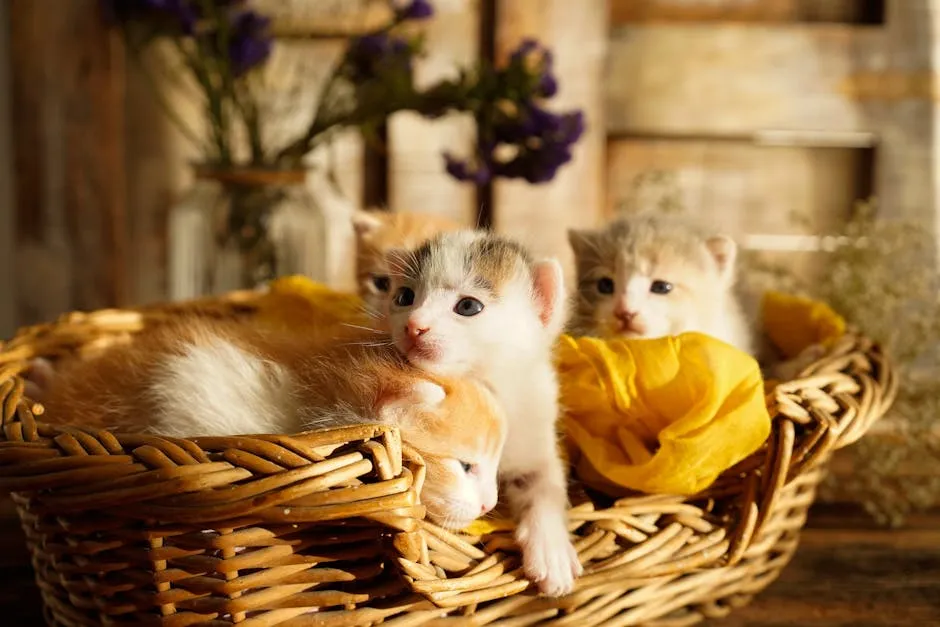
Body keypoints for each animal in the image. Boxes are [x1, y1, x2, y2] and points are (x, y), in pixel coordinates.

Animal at [384, 231, 580, 600]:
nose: (414, 326)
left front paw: (552, 550)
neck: (485, 381)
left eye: (468, 306)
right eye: (404, 297)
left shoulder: (534, 425)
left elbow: (544, 483)